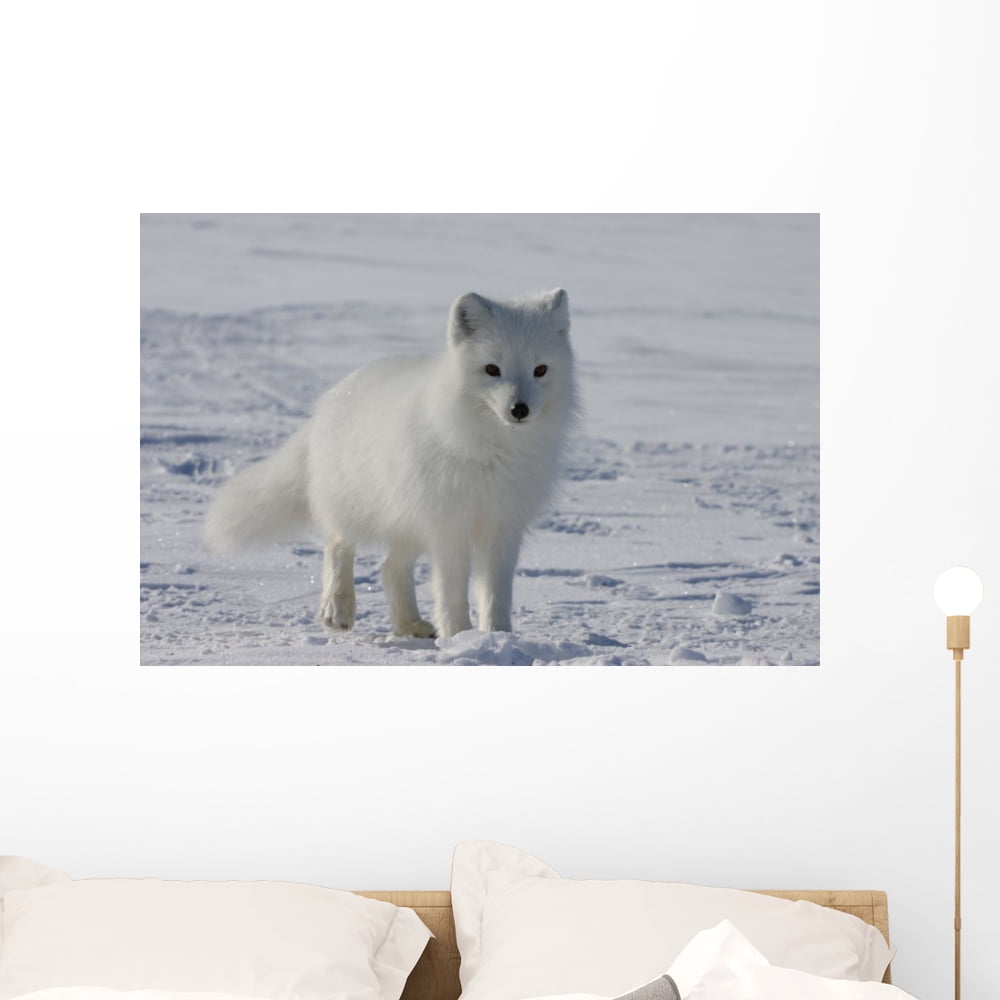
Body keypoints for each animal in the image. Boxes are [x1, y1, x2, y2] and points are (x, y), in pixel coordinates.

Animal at [205, 289, 577, 638]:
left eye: (540, 370)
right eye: (492, 369)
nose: (519, 409)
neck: (494, 449)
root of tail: (333, 397)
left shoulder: (503, 526)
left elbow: (496, 595)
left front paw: (499, 638)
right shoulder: (449, 527)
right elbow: (451, 592)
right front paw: (459, 636)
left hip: (409, 520)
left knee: (390, 568)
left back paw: (409, 624)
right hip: (364, 507)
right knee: (337, 544)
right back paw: (338, 610)